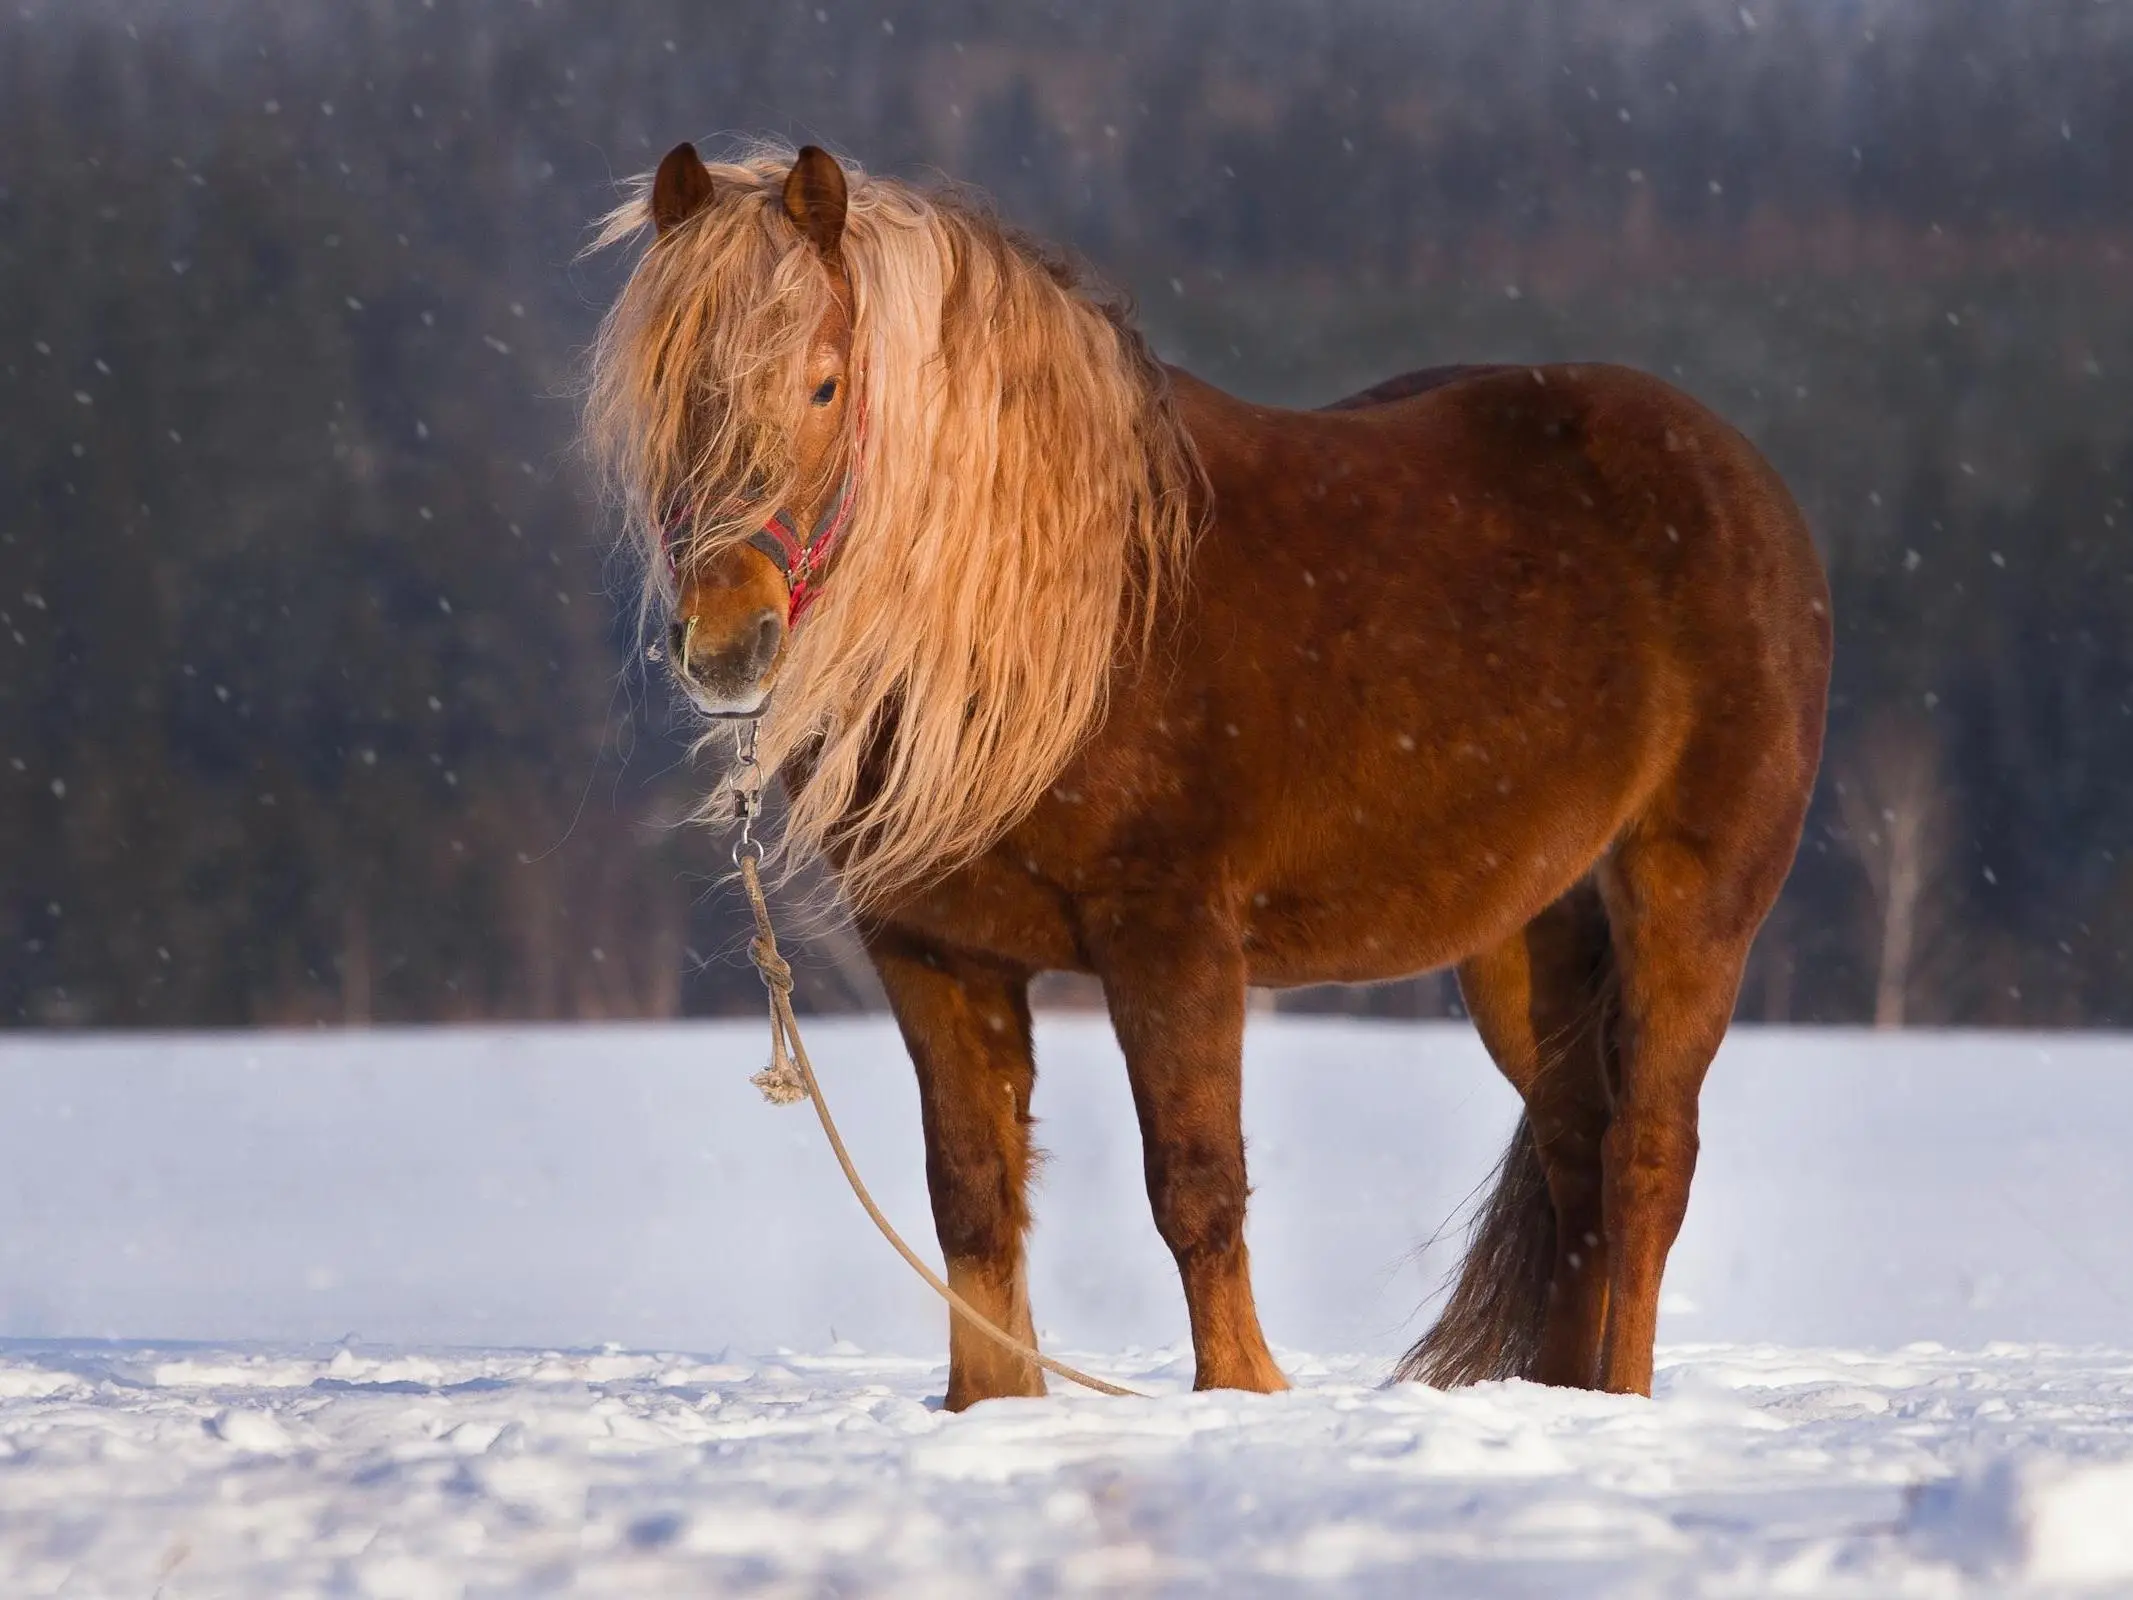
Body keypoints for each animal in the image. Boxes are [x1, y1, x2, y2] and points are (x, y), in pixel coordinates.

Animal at [587, 142, 1831, 1412]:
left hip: (1689, 907)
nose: (726, 645)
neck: (1065, 614)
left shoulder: (1172, 936)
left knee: (1645, 1160)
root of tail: (1742, 479)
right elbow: (971, 1194)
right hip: (1525, 935)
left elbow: (1194, 1184)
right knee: (1575, 1151)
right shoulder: (932, 949)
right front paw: (991, 1410)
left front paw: (1242, 1395)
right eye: (668, 394)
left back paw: (1622, 1393)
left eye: (827, 385)